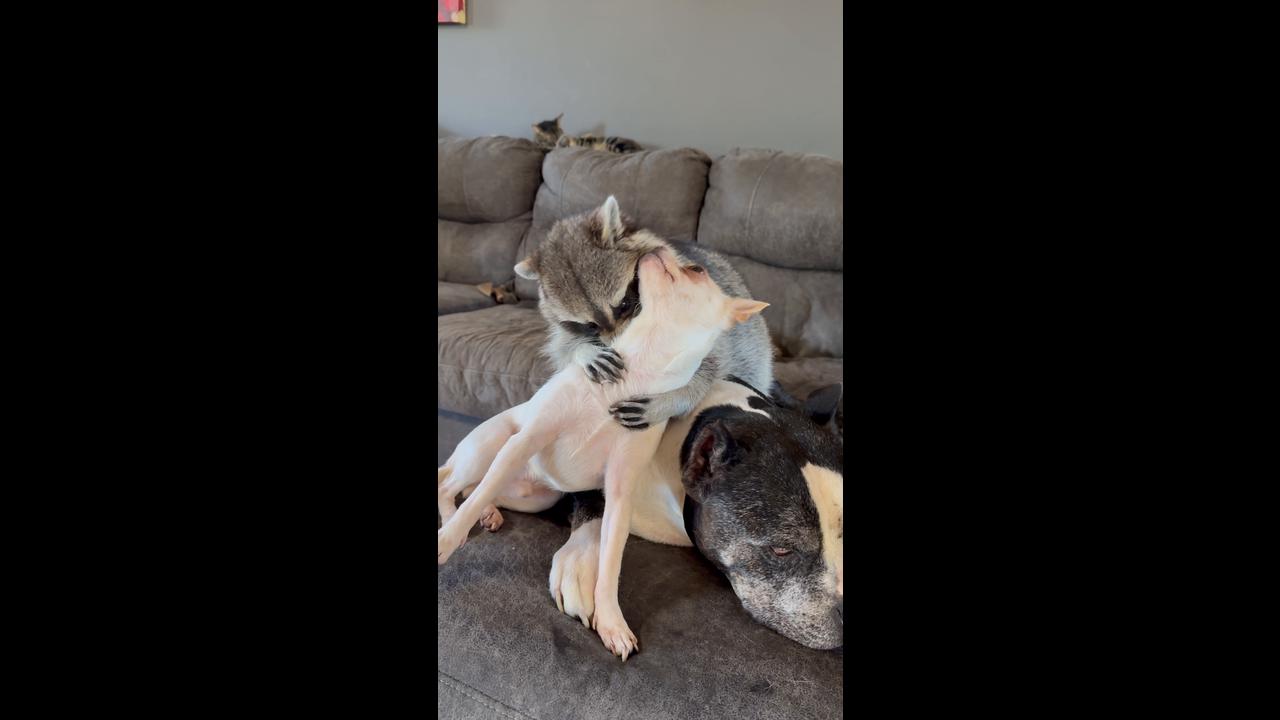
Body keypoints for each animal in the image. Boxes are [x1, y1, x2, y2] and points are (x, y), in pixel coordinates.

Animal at [514, 196, 773, 429]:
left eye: (623, 305)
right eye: (590, 326)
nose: (626, 345)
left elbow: (711, 367)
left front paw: (678, 396)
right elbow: (562, 349)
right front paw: (584, 350)